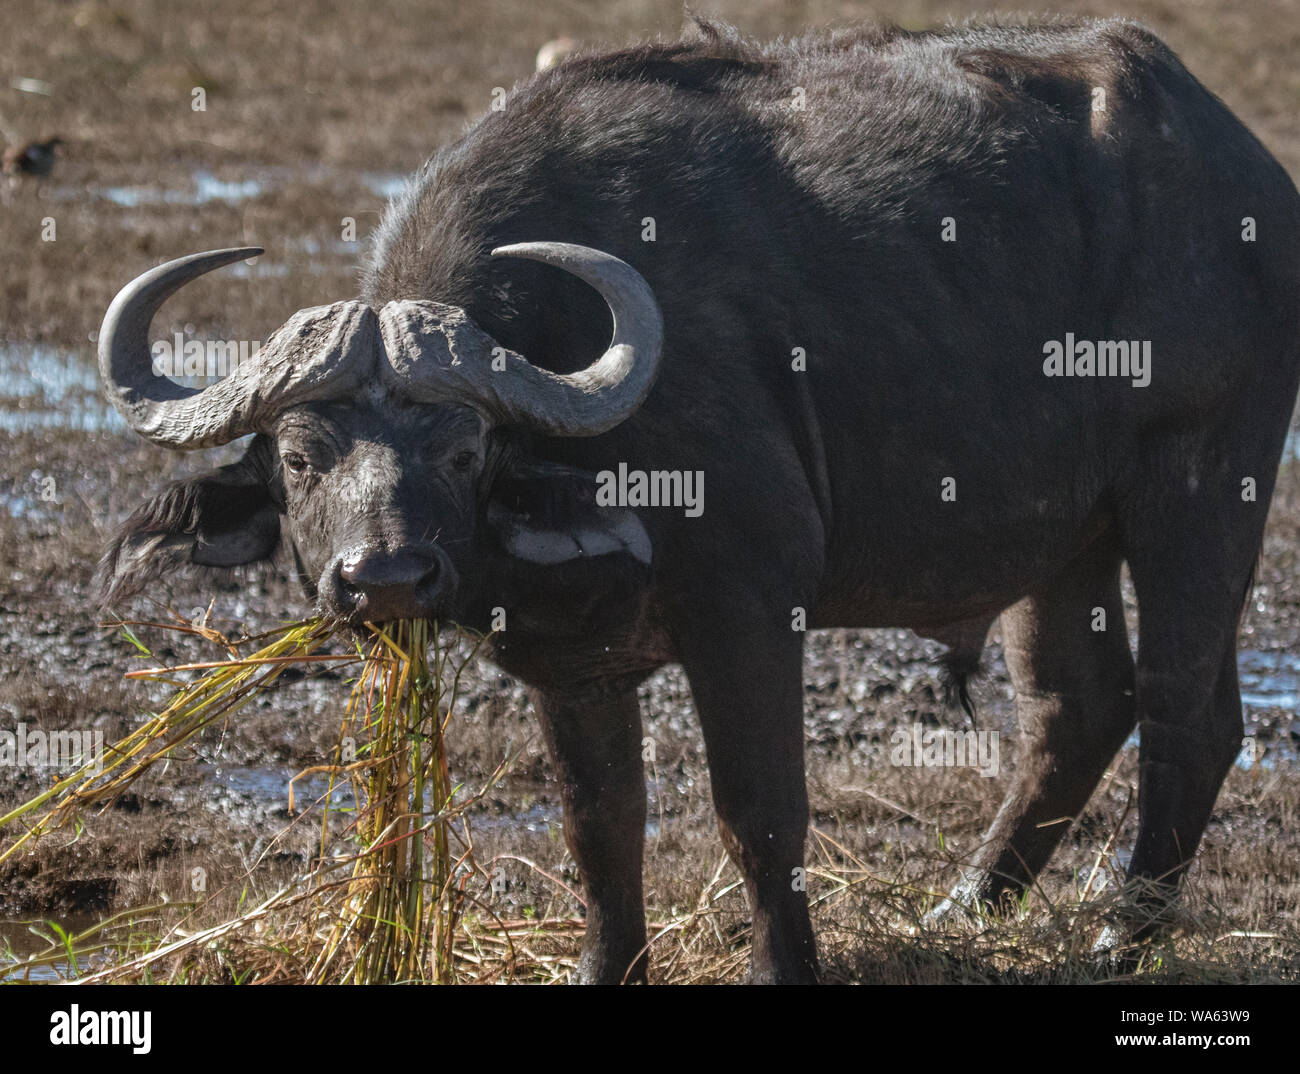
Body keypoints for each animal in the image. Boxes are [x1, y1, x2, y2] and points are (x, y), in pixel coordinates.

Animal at [97, 17, 1300, 983]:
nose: (384, 575)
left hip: (1199, 488)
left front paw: (787, 966)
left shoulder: (750, 614)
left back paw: (1120, 934)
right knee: (1075, 708)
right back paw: (964, 910)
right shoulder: (573, 665)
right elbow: (601, 829)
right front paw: (608, 966)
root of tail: (1248, 177)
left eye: (463, 449)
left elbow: (759, 818)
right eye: (302, 456)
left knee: (1188, 712)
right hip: (1060, 543)